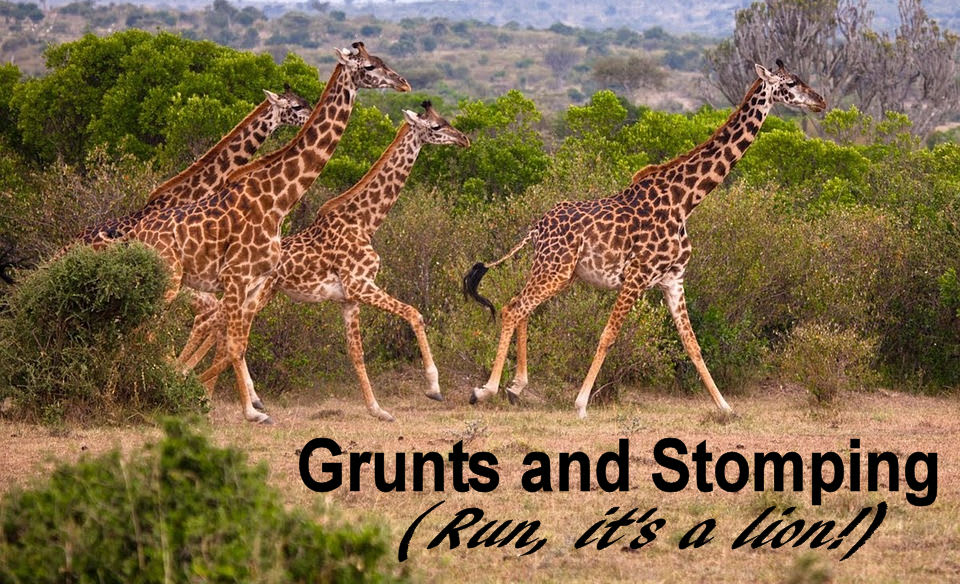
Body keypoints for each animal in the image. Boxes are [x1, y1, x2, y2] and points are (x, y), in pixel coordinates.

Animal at [120, 42, 410, 424]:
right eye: (369, 66)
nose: (404, 82)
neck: (277, 200)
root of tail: (137, 237)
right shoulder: (235, 276)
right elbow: (232, 342)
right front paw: (245, 409)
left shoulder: (254, 280)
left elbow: (238, 342)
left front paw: (244, 405)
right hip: (169, 280)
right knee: (142, 329)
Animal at [178, 102, 470, 421]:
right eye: (436, 126)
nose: (464, 139)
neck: (365, 221)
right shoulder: (361, 285)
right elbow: (414, 313)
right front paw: (433, 387)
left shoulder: (349, 298)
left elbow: (356, 352)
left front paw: (377, 409)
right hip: (257, 293)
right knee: (217, 327)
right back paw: (189, 380)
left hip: (255, 294)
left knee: (219, 328)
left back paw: (201, 387)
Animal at [463, 60, 825, 418]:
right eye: (791, 83)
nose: (820, 100)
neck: (685, 201)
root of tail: (536, 227)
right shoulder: (636, 277)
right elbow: (608, 335)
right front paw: (581, 403)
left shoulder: (673, 279)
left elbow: (692, 345)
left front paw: (725, 407)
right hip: (554, 270)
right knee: (513, 308)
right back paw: (486, 390)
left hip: (559, 273)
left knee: (523, 308)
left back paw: (516, 387)